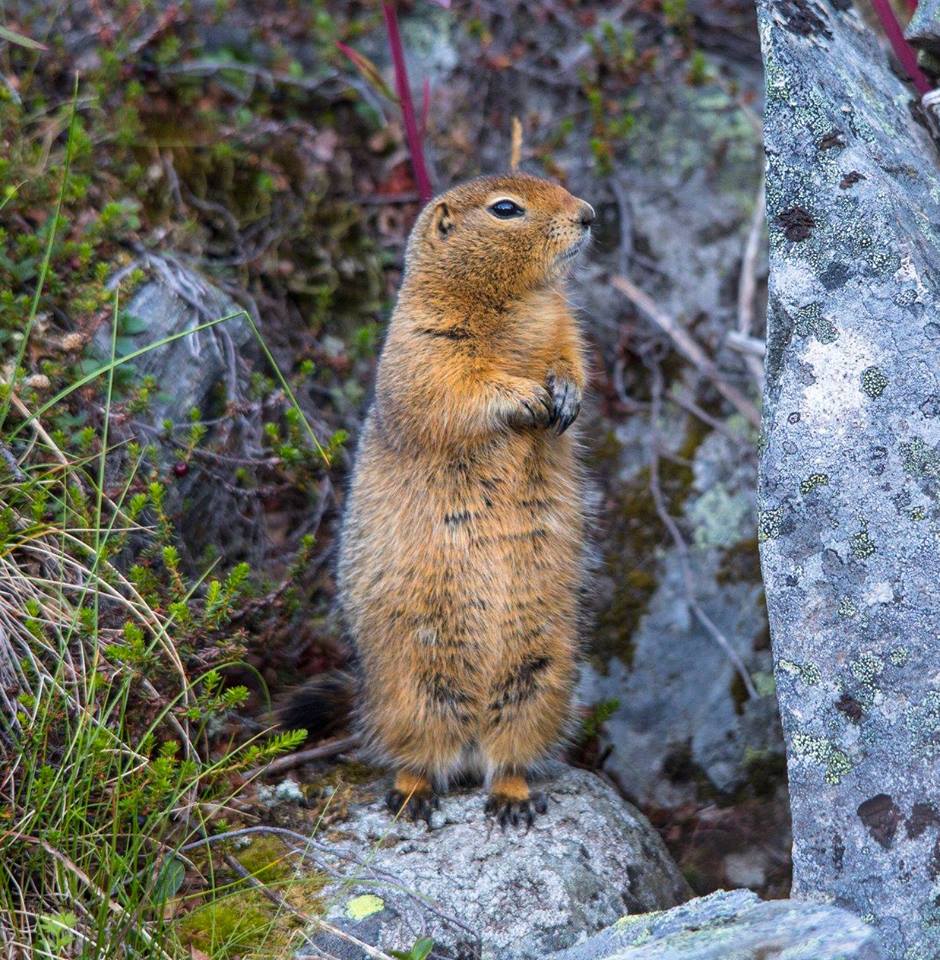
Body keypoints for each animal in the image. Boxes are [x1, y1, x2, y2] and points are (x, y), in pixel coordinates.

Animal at [280, 173, 594, 828]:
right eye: (506, 208)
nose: (590, 215)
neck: (516, 303)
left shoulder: (563, 325)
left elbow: (573, 358)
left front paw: (565, 395)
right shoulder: (425, 343)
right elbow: (457, 387)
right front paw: (525, 396)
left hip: (542, 678)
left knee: (510, 752)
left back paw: (511, 798)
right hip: (411, 684)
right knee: (417, 750)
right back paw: (413, 793)